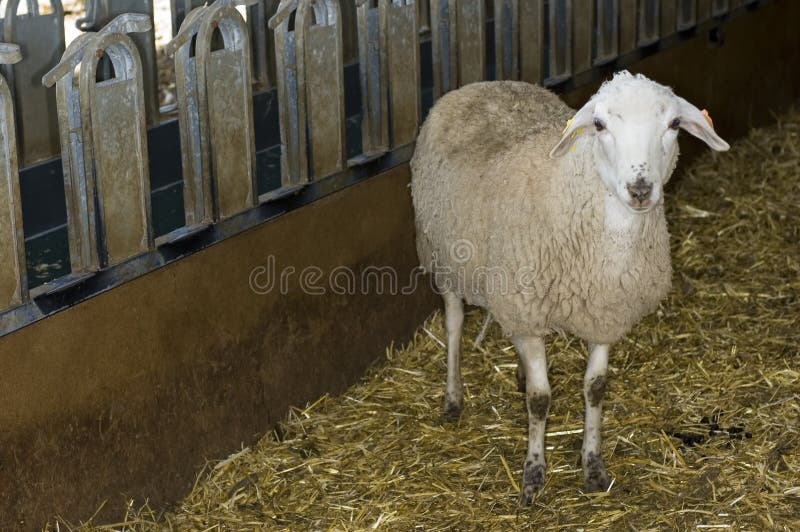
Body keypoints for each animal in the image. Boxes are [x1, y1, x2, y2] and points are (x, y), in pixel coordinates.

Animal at [410, 71, 729, 505]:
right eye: (599, 125)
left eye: (675, 124)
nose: (640, 188)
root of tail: (484, 83)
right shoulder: (526, 307)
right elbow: (540, 400)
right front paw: (533, 473)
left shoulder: (603, 314)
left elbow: (595, 389)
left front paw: (592, 466)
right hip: (443, 258)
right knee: (455, 325)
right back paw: (453, 398)